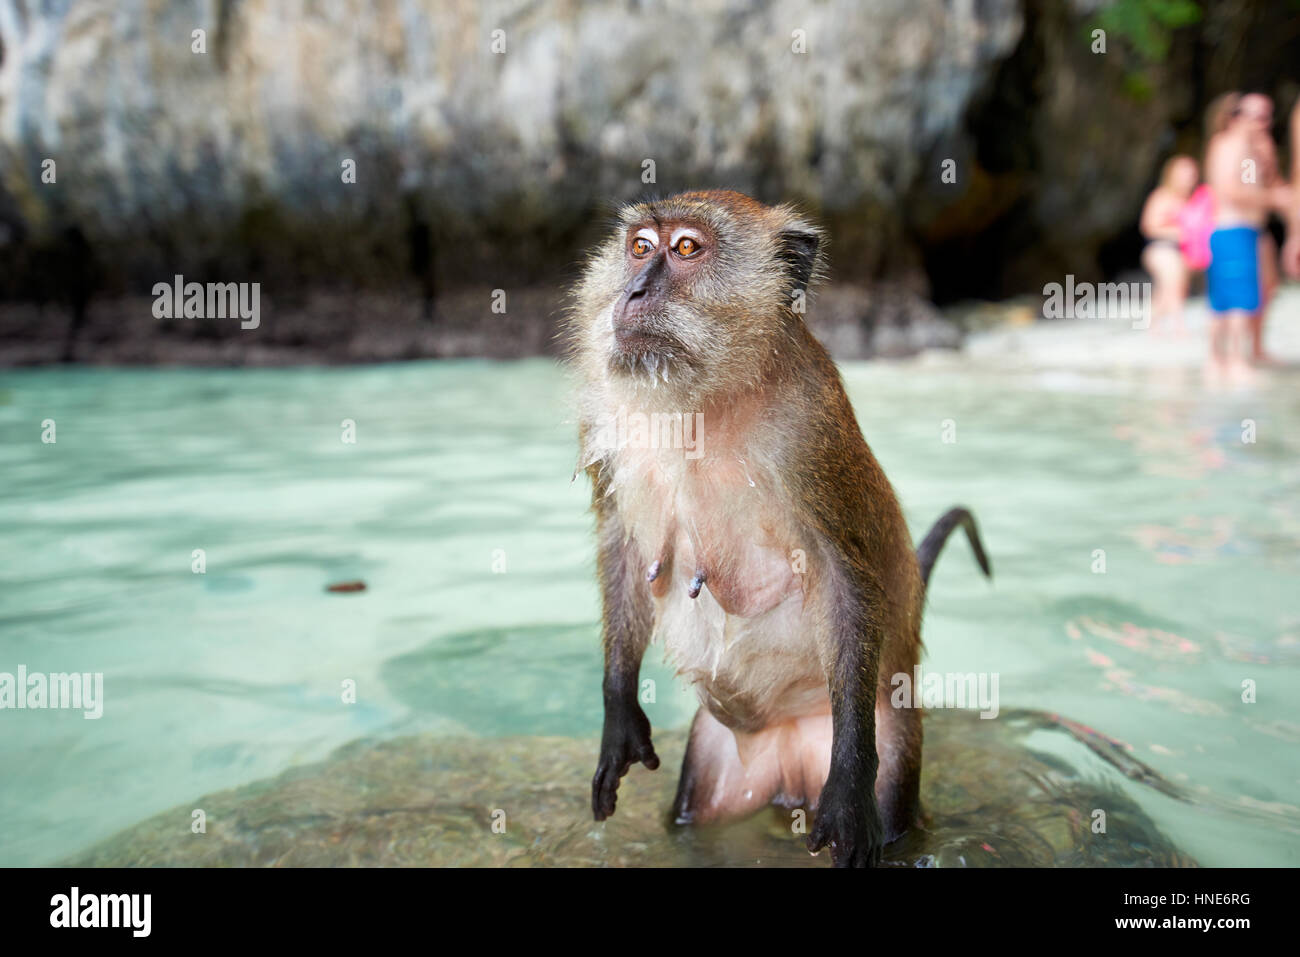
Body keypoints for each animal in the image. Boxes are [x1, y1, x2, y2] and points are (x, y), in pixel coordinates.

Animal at [567, 190, 991, 867]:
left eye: (686, 248)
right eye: (639, 246)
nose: (631, 291)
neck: (700, 403)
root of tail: (791, 752)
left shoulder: (809, 434)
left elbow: (844, 577)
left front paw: (850, 784)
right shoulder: (604, 420)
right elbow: (624, 550)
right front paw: (618, 717)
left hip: (893, 729)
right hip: (725, 753)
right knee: (696, 818)